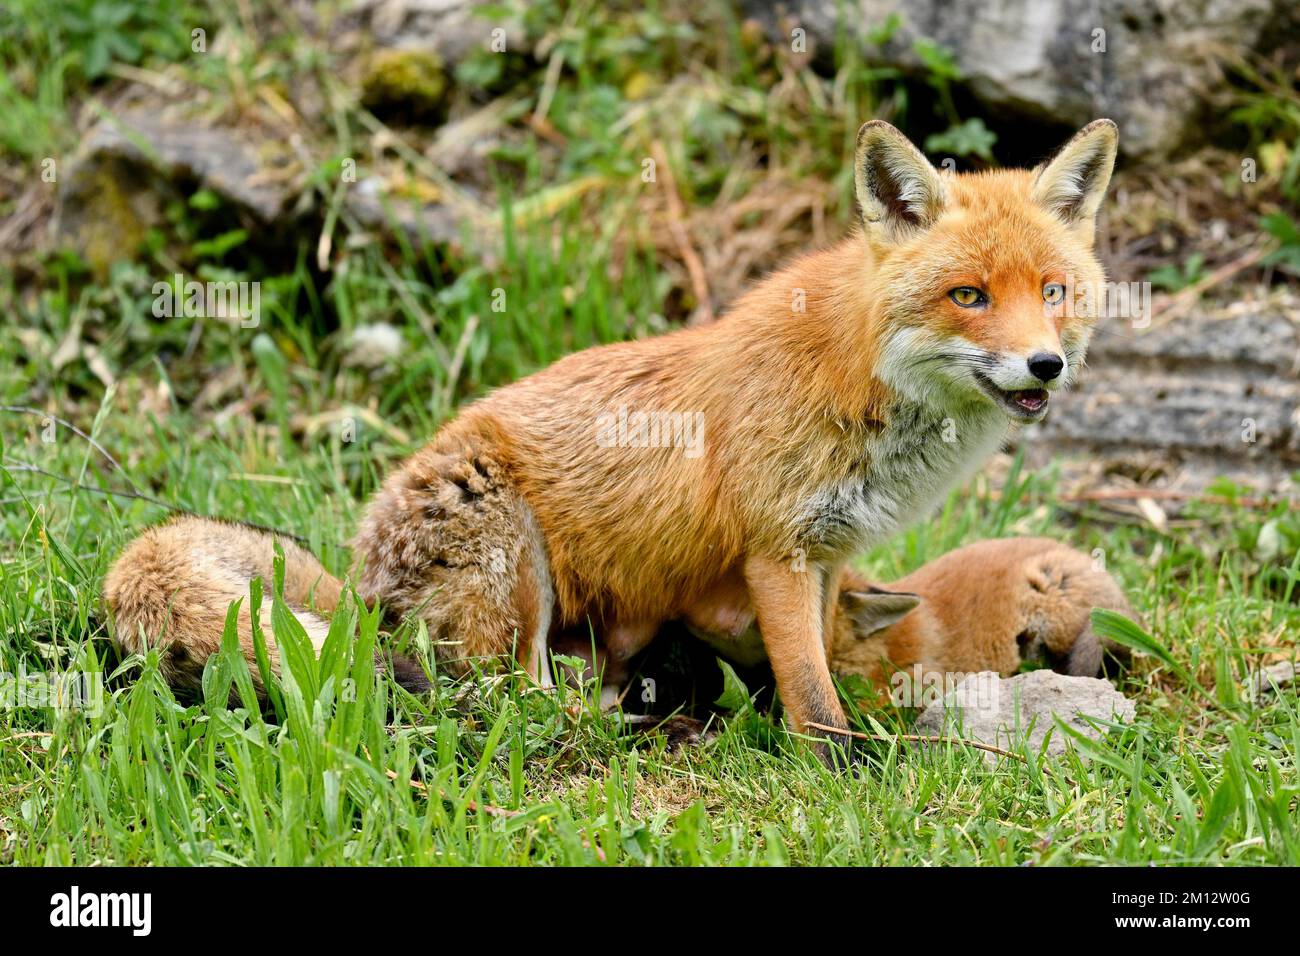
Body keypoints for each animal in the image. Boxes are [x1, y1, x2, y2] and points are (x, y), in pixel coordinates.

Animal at [104, 118, 1119, 761]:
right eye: (968, 296)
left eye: (1053, 292)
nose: (1043, 365)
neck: (866, 385)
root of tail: (363, 576)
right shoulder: (778, 550)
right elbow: (812, 691)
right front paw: (843, 773)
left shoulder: (828, 556)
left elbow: (816, 665)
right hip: (515, 566)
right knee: (503, 696)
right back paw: (629, 719)